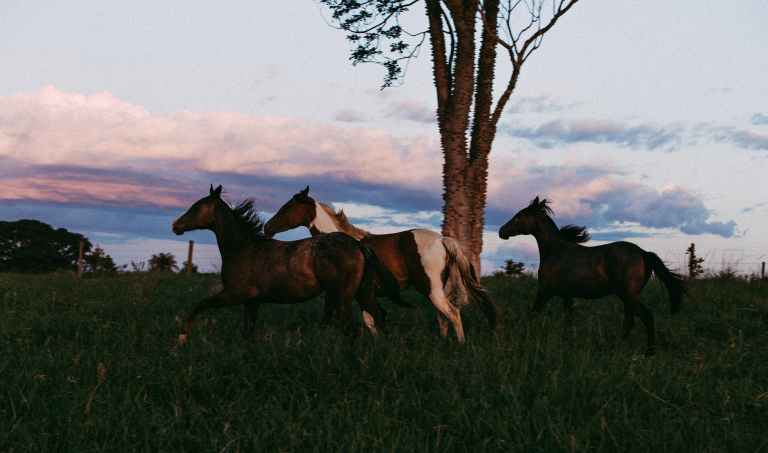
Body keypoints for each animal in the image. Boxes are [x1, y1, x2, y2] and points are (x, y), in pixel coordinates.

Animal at [171, 185, 398, 343]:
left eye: (197, 207)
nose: (175, 226)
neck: (243, 248)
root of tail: (358, 245)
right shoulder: (251, 301)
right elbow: (247, 332)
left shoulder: (234, 294)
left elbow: (199, 305)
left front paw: (181, 339)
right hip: (362, 292)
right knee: (378, 318)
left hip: (342, 297)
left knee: (353, 329)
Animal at [262, 186, 497, 343]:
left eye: (287, 207)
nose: (267, 227)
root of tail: (442, 240)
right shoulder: (365, 293)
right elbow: (371, 320)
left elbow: (369, 319)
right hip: (437, 289)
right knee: (443, 317)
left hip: (430, 288)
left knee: (452, 313)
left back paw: (459, 345)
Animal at [498, 196, 685, 355]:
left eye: (518, 217)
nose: (501, 231)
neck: (555, 251)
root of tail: (643, 253)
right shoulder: (566, 296)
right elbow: (568, 320)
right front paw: (568, 343)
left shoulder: (545, 291)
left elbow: (533, 314)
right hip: (629, 296)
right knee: (642, 318)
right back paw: (647, 351)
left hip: (628, 295)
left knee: (637, 319)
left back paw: (619, 348)